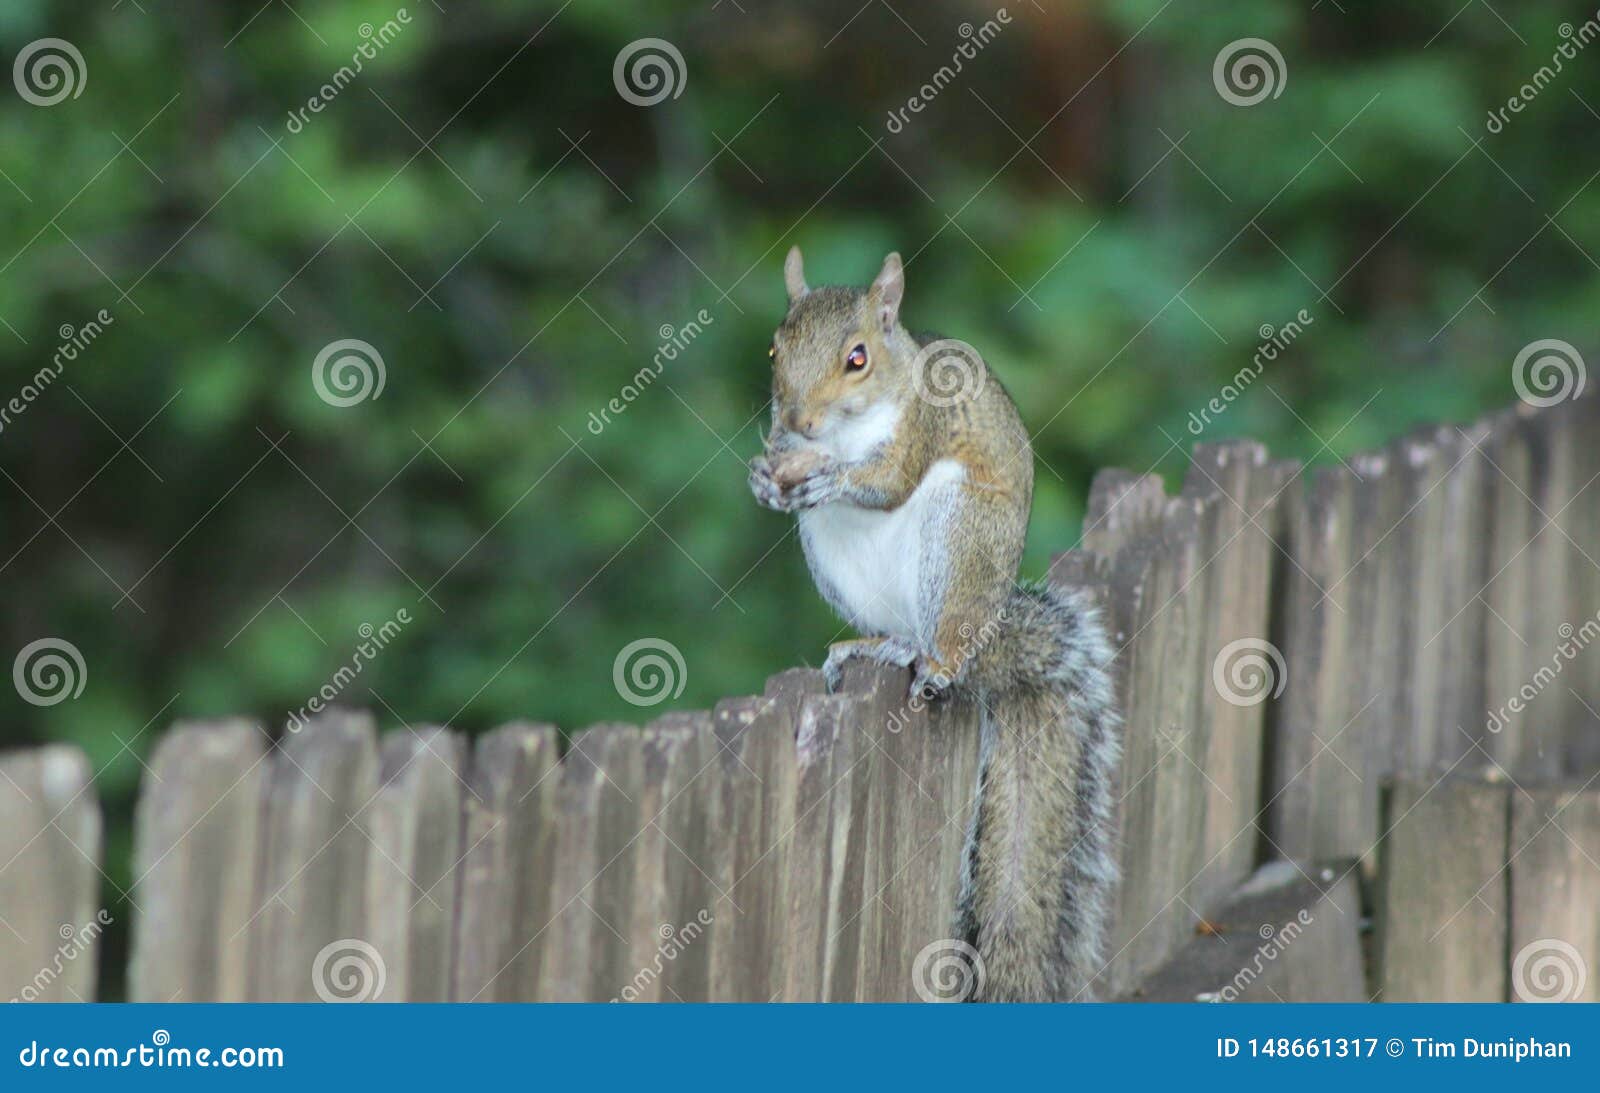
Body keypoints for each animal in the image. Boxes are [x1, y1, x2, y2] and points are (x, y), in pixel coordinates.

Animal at [747, 247, 1122, 1002]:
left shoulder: (922, 427)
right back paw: (872, 646)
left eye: (857, 358)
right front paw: (764, 478)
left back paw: (933, 659)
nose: (797, 422)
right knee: (894, 628)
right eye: (774, 348)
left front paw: (832, 475)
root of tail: (984, 636)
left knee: (943, 642)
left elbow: (888, 481)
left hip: (958, 535)